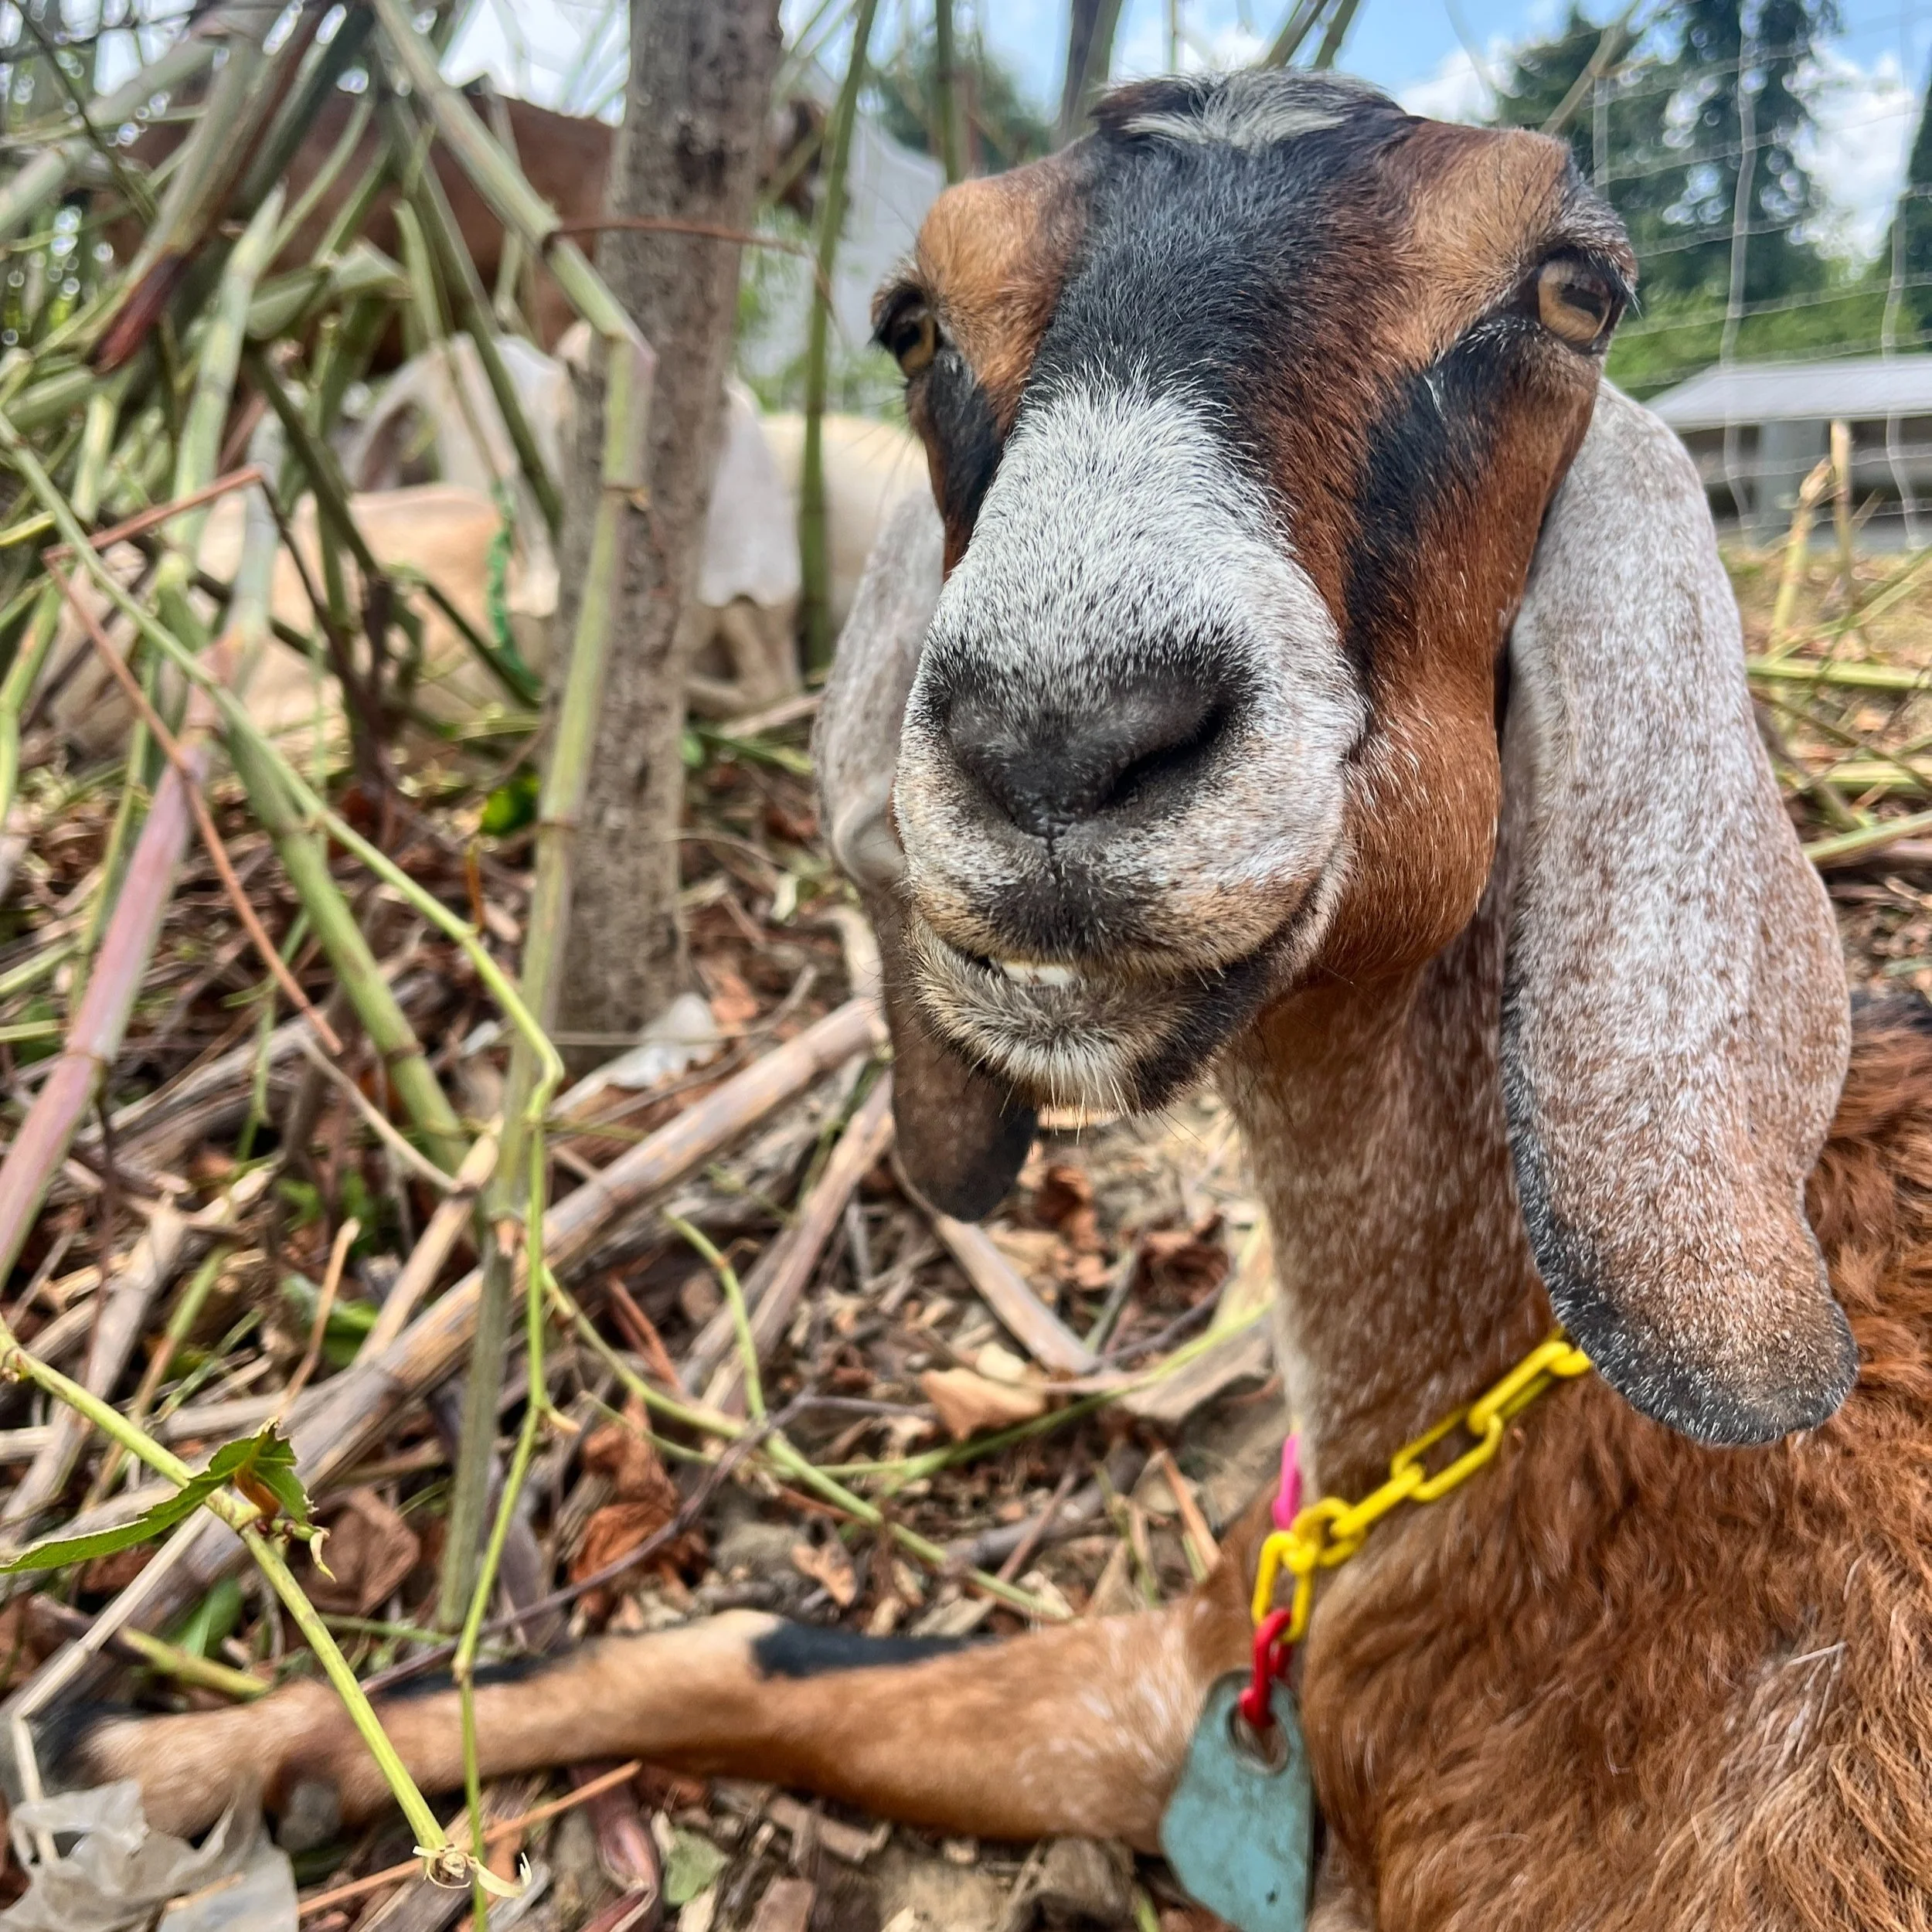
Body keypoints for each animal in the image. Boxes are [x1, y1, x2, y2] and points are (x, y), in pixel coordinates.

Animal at [62, 71, 1932, 1930]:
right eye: (912, 322)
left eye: (1573, 291)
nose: (1058, 728)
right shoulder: (1178, 1684)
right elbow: (757, 1649)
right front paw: (180, 1750)